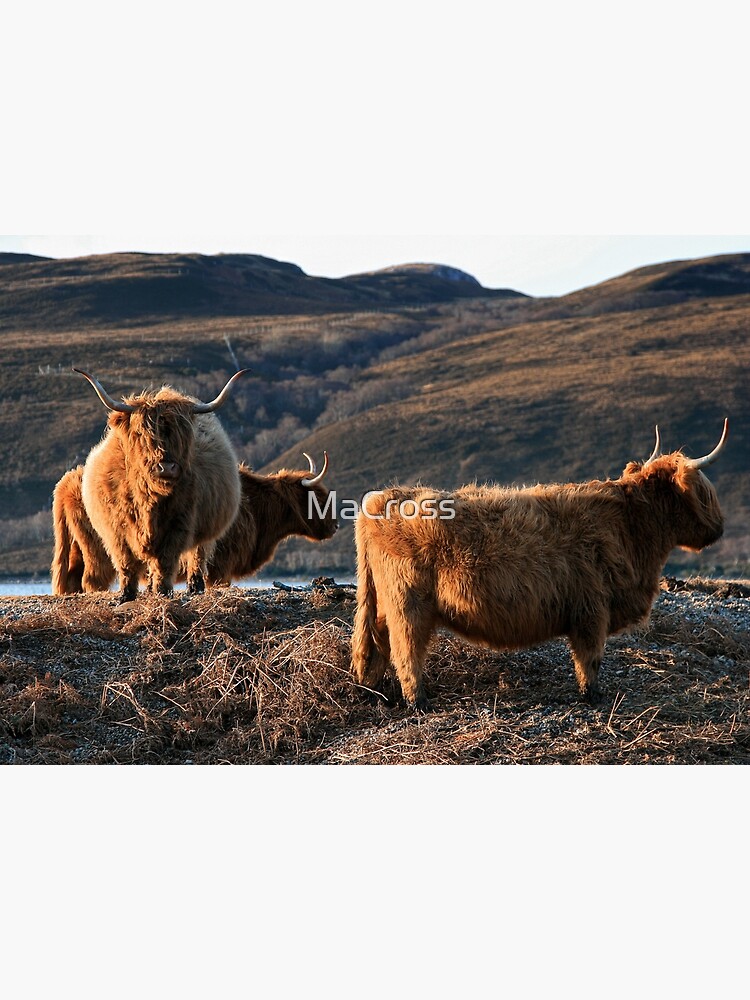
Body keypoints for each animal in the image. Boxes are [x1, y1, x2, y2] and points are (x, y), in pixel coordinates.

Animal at [50, 452, 337, 593]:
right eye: (319, 498)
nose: (335, 527)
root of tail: (66, 482)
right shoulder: (221, 566)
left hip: (77, 546)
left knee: (73, 578)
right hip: (100, 550)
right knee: (92, 580)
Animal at [74, 368, 248, 602]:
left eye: (184, 435)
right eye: (141, 433)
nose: (166, 467)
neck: (150, 498)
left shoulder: (179, 525)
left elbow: (165, 561)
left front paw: (163, 591)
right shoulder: (117, 530)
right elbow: (126, 563)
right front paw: (126, 595)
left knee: (197, 555)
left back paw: (195, 587)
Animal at [351, 421, 728, 710]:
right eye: (703, 491)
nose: (720, 528)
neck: (630, 525)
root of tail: (382, 497)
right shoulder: (592, 609)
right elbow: (590, 657)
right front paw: (592, 695)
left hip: (385, 602)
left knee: (377, 640)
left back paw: (375, 691)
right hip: (408, 603)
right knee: (406, 650)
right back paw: (418, 701)